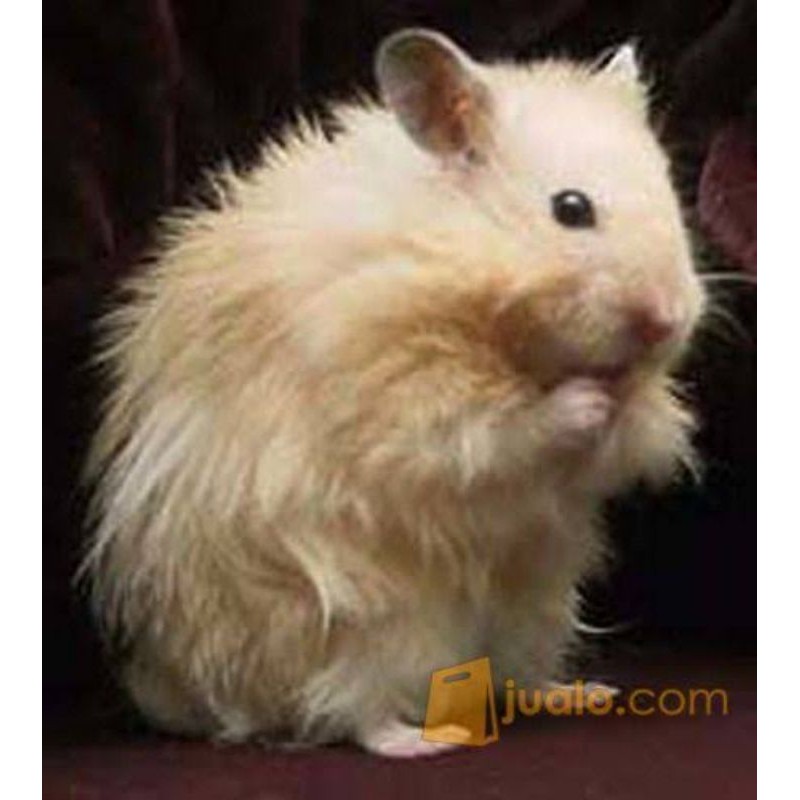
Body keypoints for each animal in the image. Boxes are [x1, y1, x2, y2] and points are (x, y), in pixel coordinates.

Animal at [84, 29, 705, 757]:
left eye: (671, 199)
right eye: (571, 209)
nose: (668, 319)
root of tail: (194, 695)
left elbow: (631, 439)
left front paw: (624, 400)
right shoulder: (401, 395)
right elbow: (491, 426)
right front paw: (586, 400)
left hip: (538, 602)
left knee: (515, 679)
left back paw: (585, 694)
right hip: (368, 621)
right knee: (354, 711)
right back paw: (429, 740)